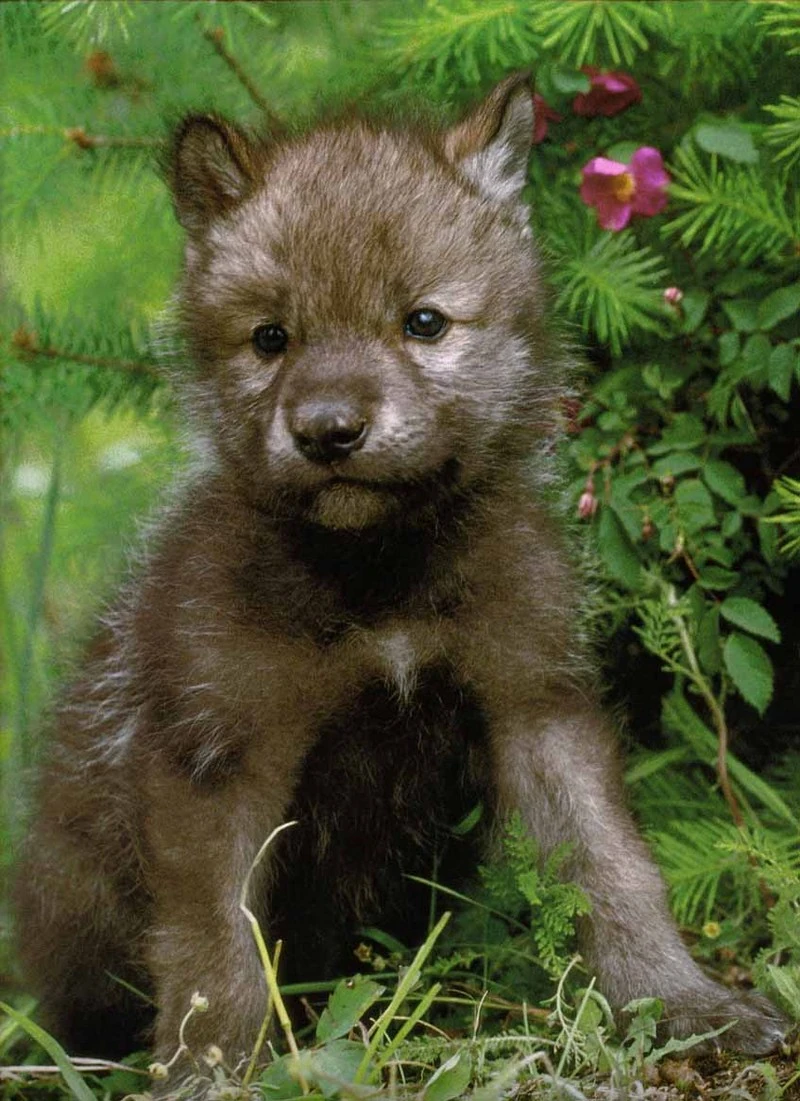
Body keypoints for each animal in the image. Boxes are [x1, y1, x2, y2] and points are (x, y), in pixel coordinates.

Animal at [15, 75, 785, 1077]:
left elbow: (614, 867)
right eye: (271, 337)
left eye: (424, 322)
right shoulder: (216, 759)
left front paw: (686, 1002)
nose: (329, 430)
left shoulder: (535, 704)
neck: (380, 586)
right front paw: (212, 1068)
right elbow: (213, 946)